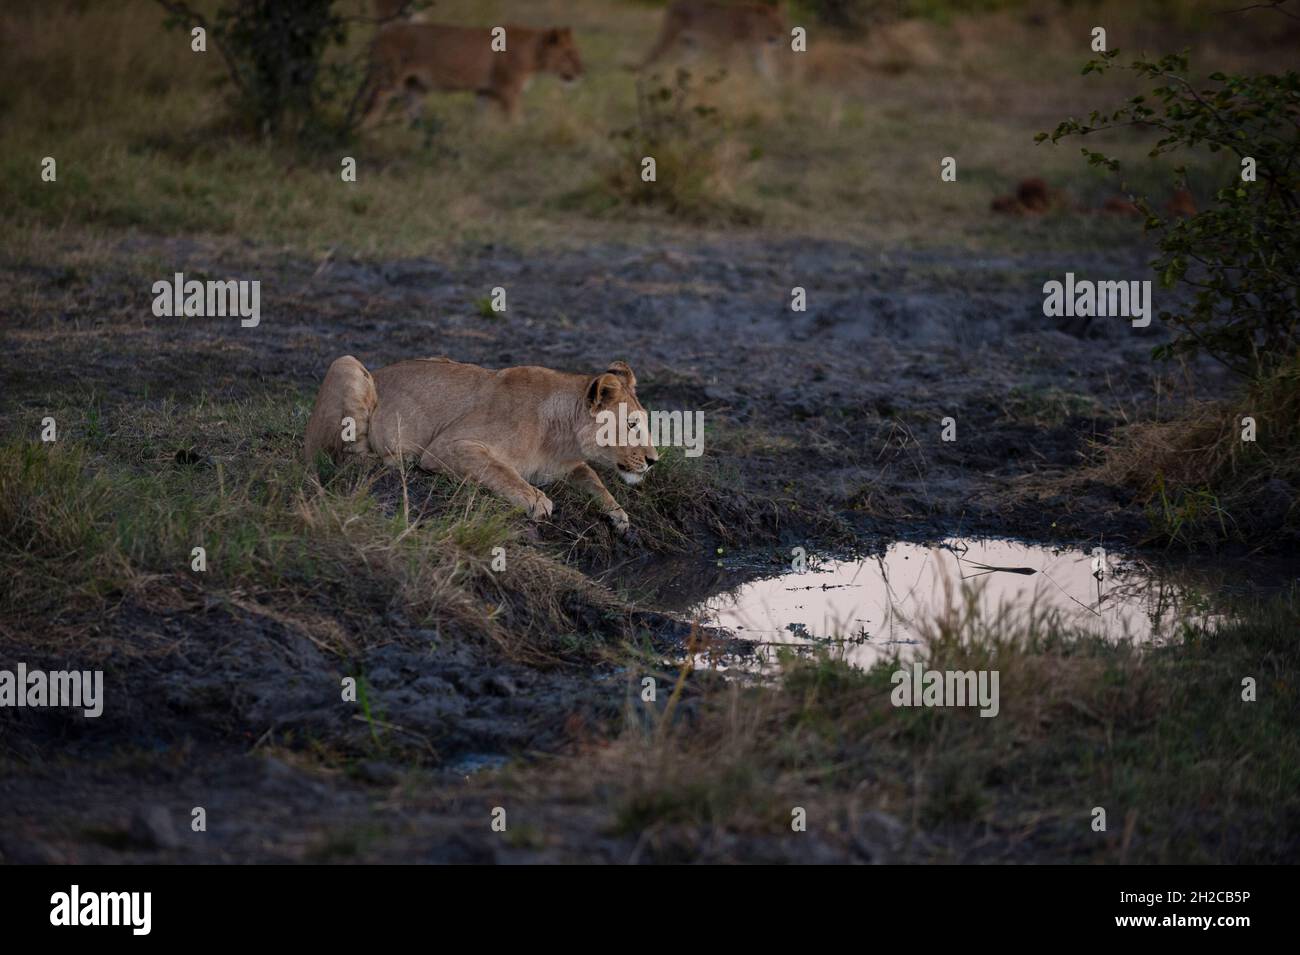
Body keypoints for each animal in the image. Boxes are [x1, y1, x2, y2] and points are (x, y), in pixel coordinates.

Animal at [304, 356, 657, 534]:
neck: (562, 439)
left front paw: (617, 513)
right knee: (342, 453)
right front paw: (535, 500)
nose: (654, 460)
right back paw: (395, 459)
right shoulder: (448, 446)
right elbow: (500, 470)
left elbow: (592, 477)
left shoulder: (565, 466)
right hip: (347, 363)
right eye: (631, 425)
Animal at [359, 22, 583, 124]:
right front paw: (520, 134)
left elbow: (482, 119)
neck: (534, 52)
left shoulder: (484, 92)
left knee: (412, 114)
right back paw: (366, 132)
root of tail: (381, 31)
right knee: (373, 107)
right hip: (388, 79)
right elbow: (515, 119)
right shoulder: (507, 90)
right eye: (569, 54)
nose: (582, 71)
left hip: (416, 87)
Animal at [638, 1, 788, 77]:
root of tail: (673, 3)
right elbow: (726, 72)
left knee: (681, 67)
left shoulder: (756, 53)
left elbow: (767, 74)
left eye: (781, 22)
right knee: (650, 57)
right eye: (775, 24)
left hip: (692, 46)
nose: (782, 35)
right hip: (669, 35)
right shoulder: (727, 50)